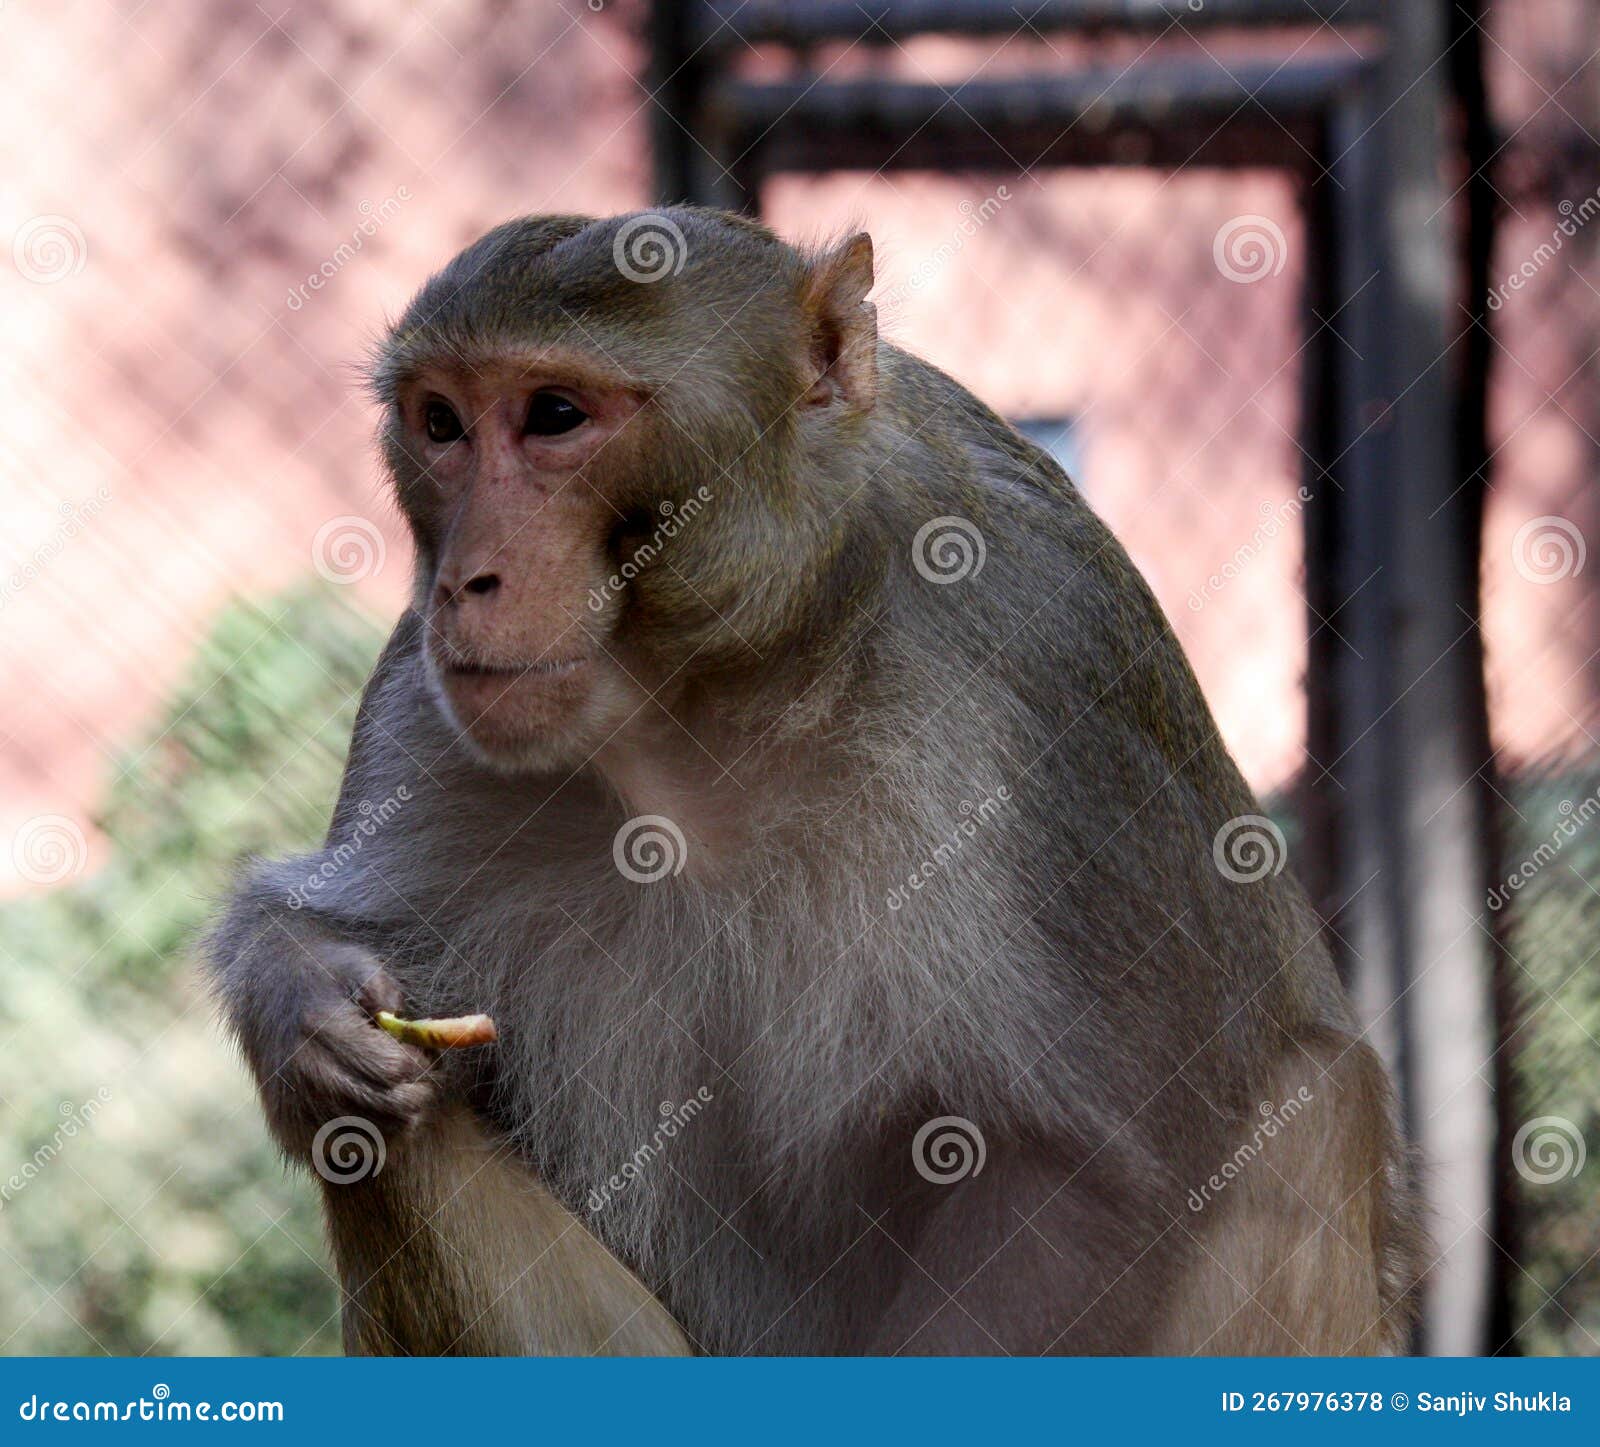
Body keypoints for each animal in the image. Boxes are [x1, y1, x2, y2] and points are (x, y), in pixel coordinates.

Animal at [207, 206, 1423, 1356]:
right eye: (440, 424)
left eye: (553, 415)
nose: (467, 579)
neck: (724, 705)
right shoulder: (421, 713)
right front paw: (303, 1002)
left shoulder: (1039, 664)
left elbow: (1087, 1174)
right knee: (384, 1139)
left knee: (1315, 1109)